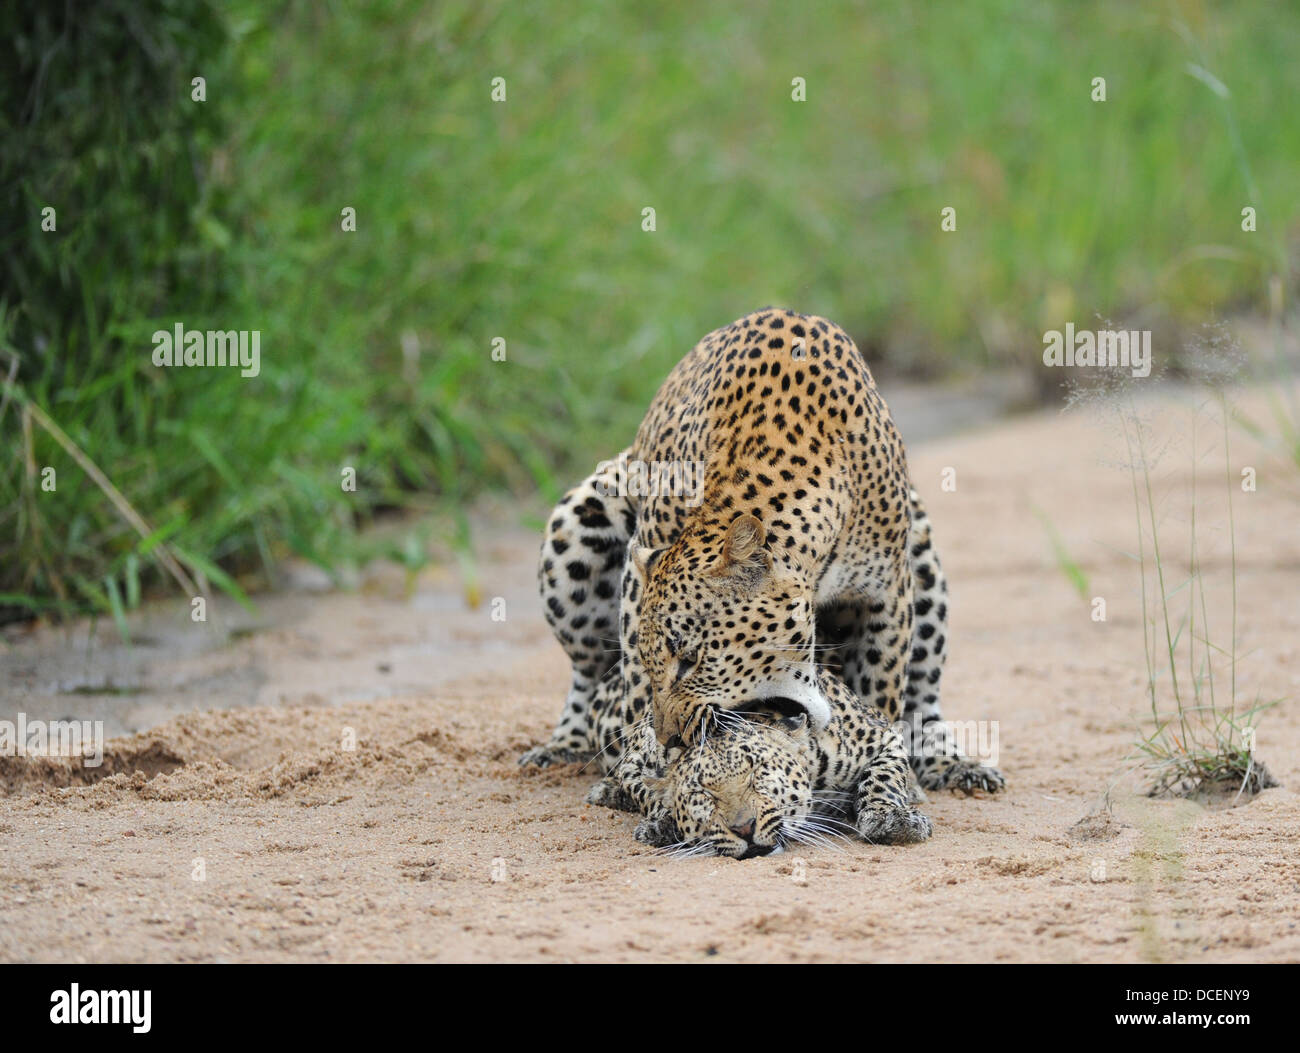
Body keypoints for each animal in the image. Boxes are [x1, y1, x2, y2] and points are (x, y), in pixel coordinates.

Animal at [523, 307, 1004, 796]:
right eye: (668, 658)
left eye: (692, 659)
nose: (670, 737)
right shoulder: (641, 567)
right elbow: (635, 684)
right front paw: (642, 768)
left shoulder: (885, 595)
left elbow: (881, 691)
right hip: (581, 518)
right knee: (587, 674)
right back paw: (564, 746)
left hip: (923, 555)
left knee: (924, 694)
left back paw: (950, 764)